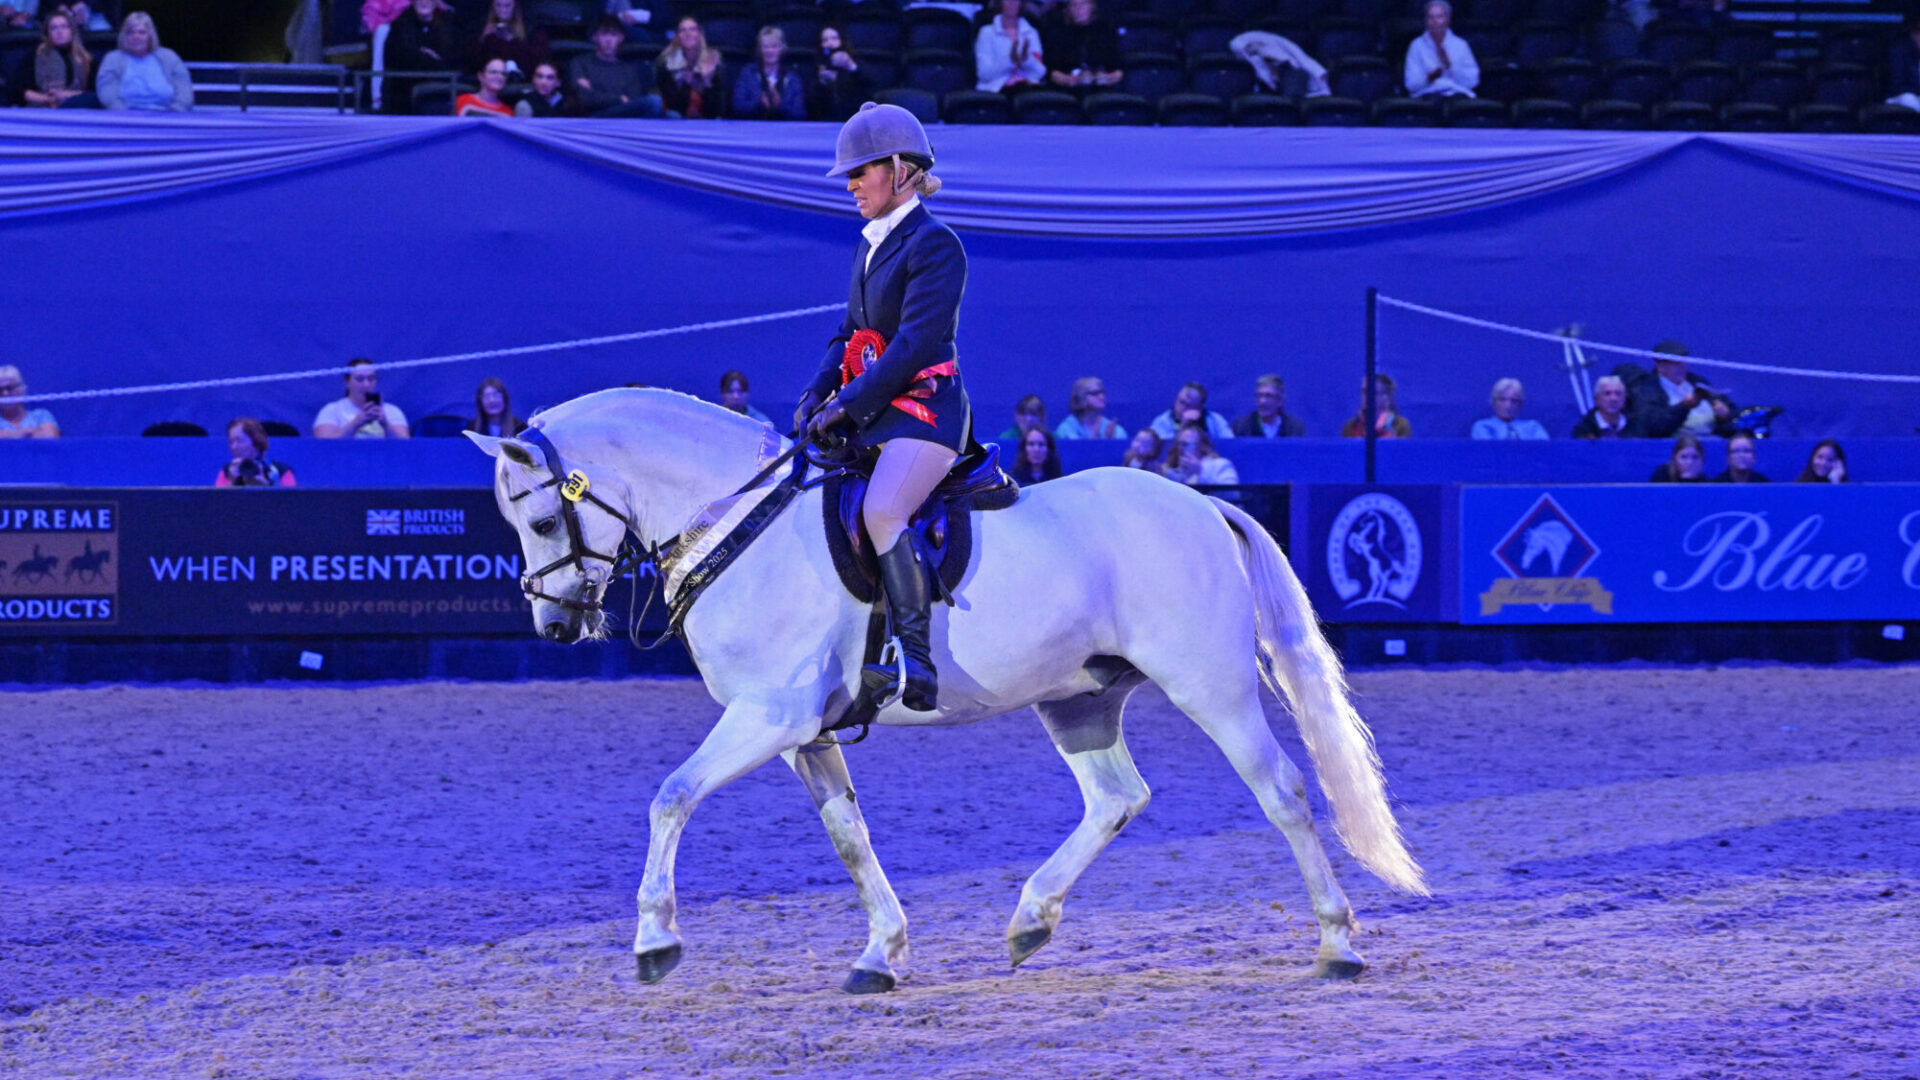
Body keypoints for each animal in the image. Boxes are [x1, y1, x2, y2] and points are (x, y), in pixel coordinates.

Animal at [468, 388, 1426, 994]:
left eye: (545, 517)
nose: (555, 627)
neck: (738, 523)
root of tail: (1201, 505)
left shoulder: (768, 715)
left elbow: (670, 798)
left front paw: (655, 941)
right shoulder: (806, 733)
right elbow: (850, 840)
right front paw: (880, 954)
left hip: (1211, 687)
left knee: (1285, 793)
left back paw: (1337, 944)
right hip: (1078, 698)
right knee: (1117, 798)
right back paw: (1031, 919)